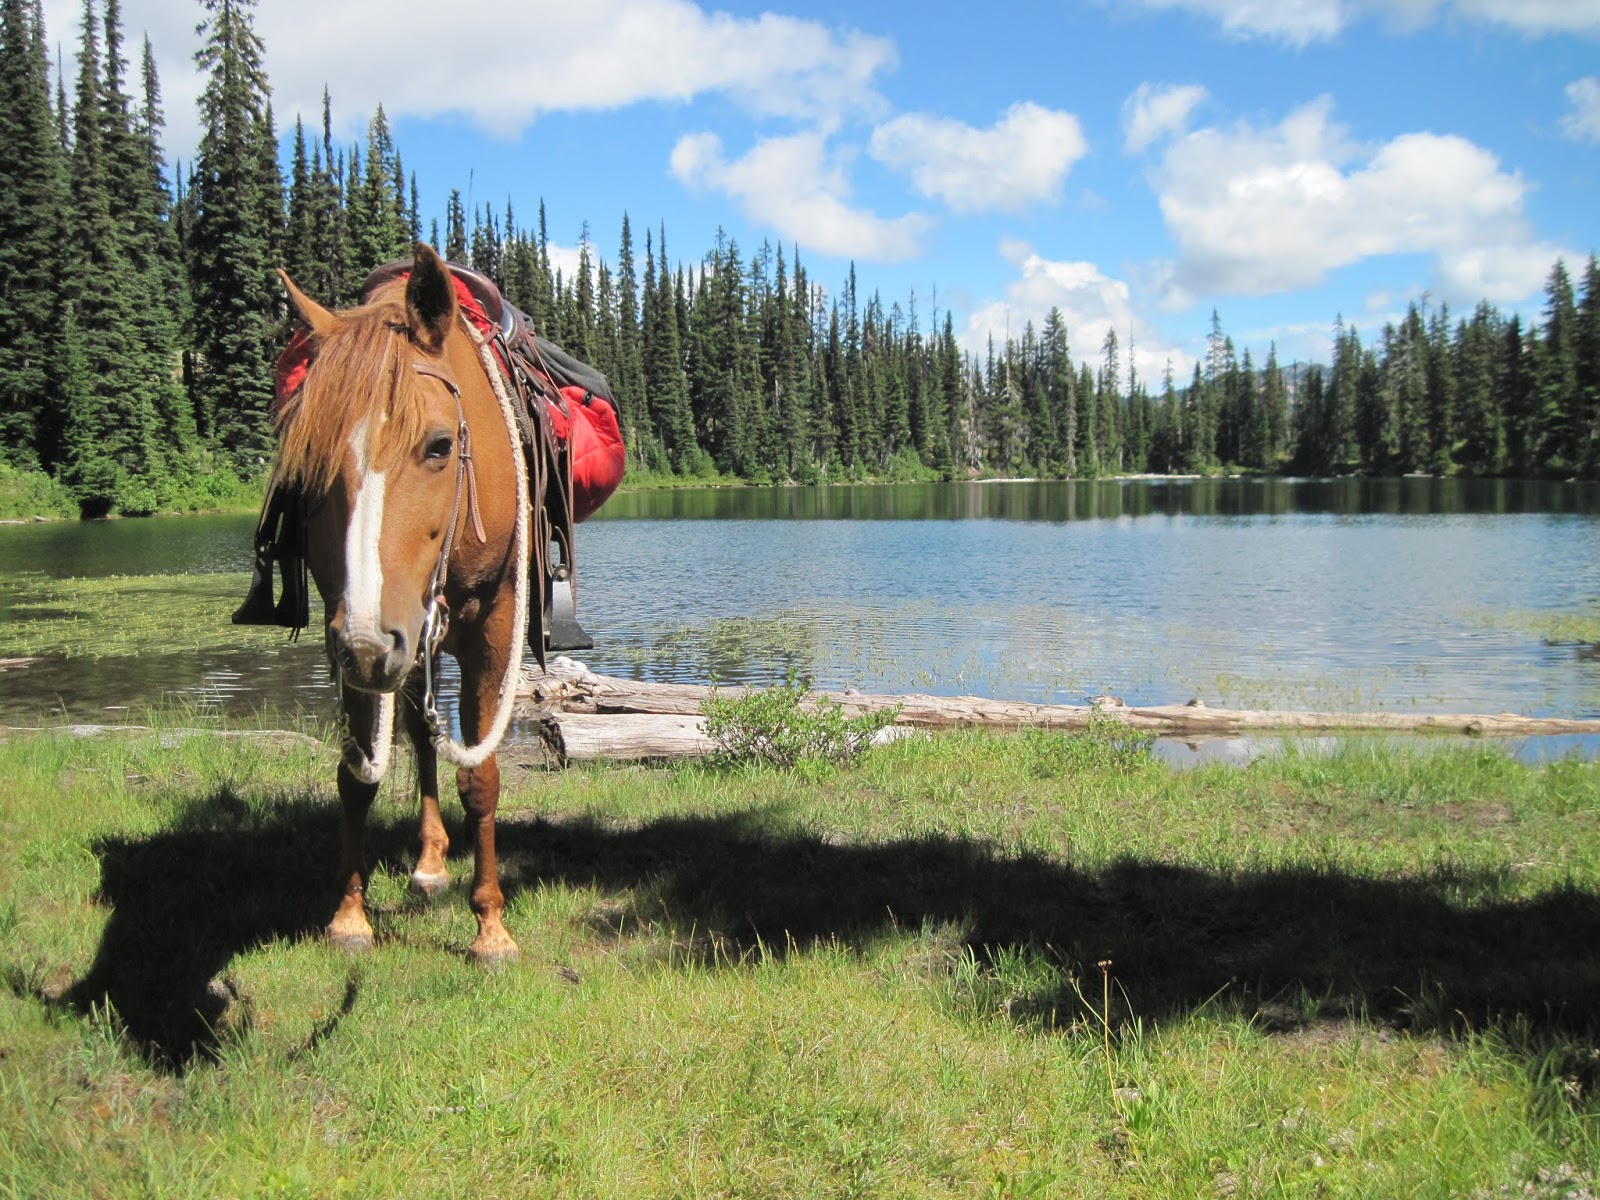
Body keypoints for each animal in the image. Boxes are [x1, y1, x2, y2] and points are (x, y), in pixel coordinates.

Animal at [270, 243, 532, 964]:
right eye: (307, 459)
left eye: (440, 446)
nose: (368, 643)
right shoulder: (354, 633)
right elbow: (357, 775)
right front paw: (349, 917)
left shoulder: (493, 624)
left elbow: (481, 777)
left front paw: (490, 927)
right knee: (417, 729)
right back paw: (430, 862)